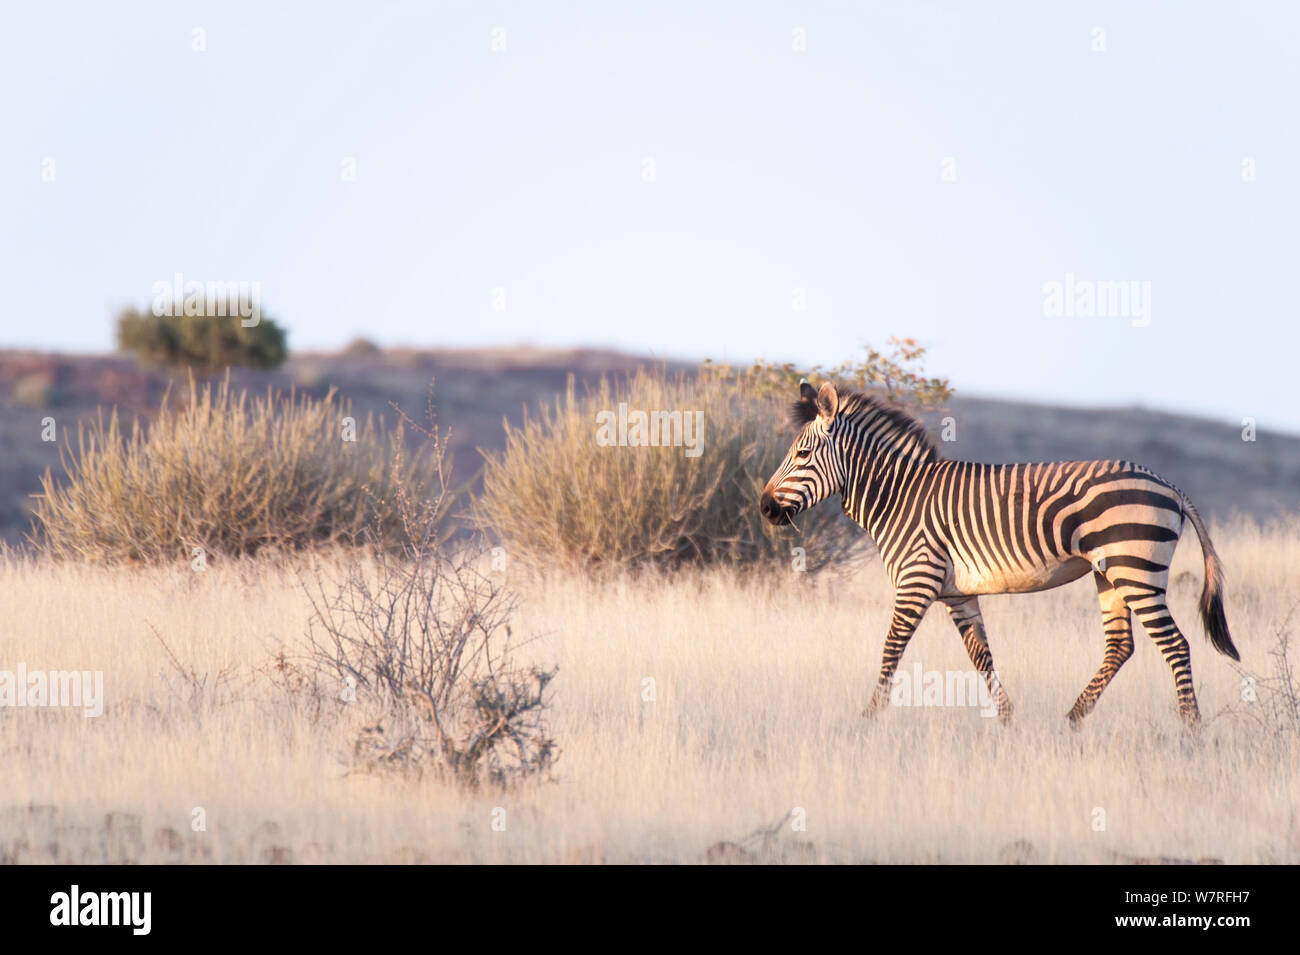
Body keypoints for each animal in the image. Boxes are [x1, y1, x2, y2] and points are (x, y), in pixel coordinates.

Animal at [759, 380, 1239, 726]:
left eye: (802, 453)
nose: (764, 507)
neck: (900, 496)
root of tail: (1168, 484)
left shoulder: (917, 581)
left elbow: (891, 650)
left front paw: (867, 719)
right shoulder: (957, 592)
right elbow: (981, 657)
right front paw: (1009, 721)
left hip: (1137, 569)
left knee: (1175, 644)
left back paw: (1191, 730)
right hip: (1110, 573)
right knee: (1120, 646)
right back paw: (1071, 721)